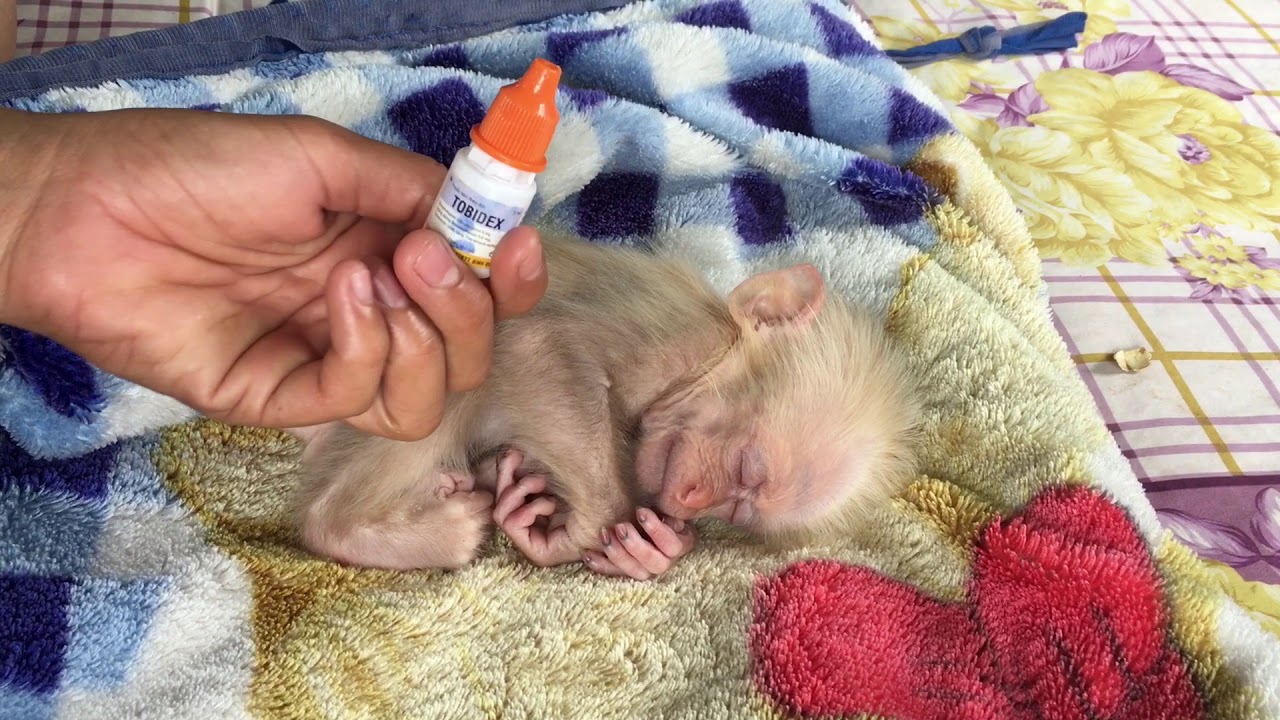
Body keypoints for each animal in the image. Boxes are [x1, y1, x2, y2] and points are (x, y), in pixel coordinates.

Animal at [290, 231, 921, 579]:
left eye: (738, 509)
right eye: (747, 467)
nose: (692, 500)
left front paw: (655, 548)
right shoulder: (676, 339)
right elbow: (534, 346)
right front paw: (592, 527)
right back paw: (354, 529)